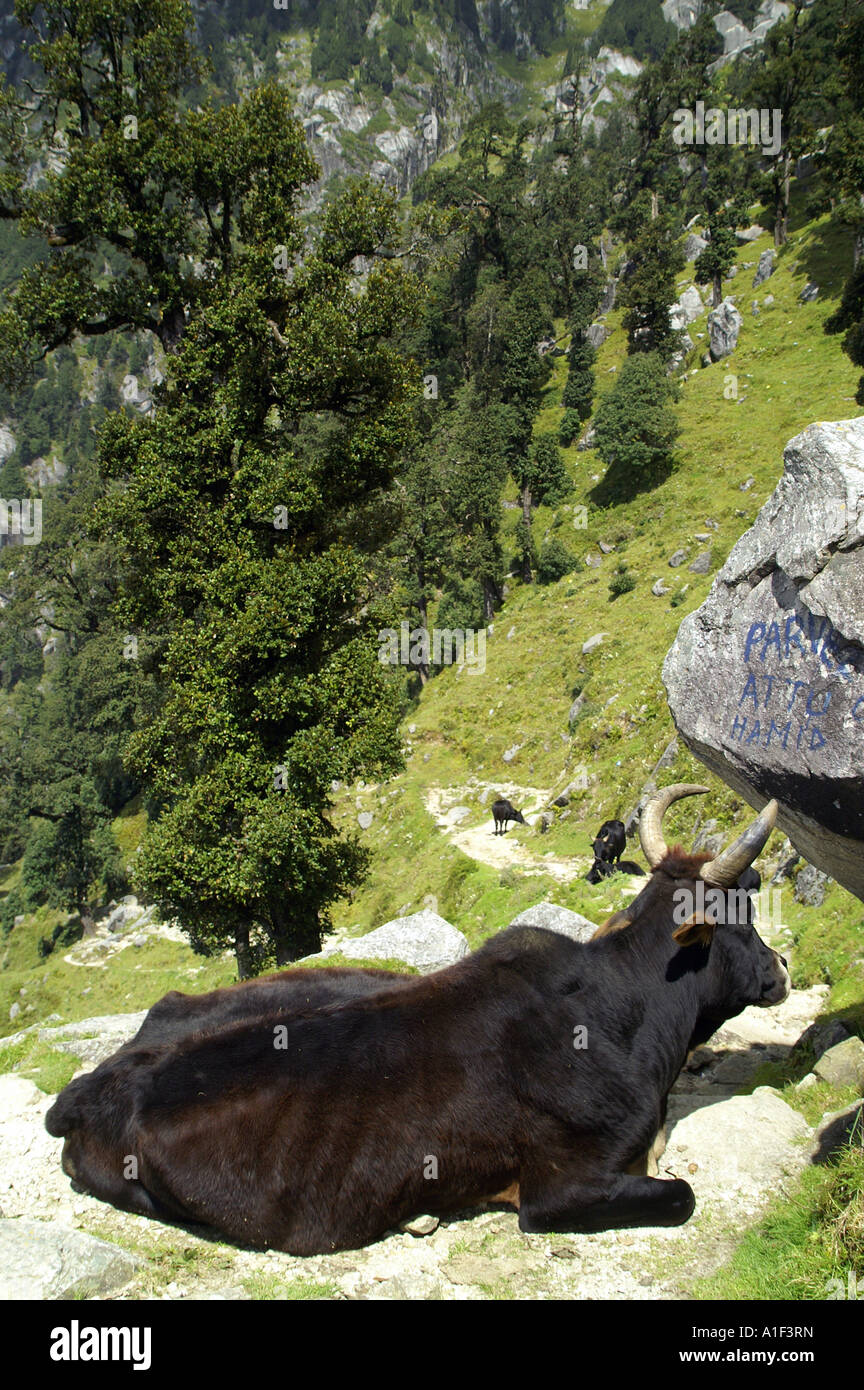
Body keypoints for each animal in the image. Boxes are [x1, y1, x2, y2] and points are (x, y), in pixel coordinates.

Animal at [46, 783, 788, 1256]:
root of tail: (88, 1091)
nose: (781, 969)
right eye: (741, 915)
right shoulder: (561, 1185)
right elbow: (683, 1194)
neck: (623, 1017)